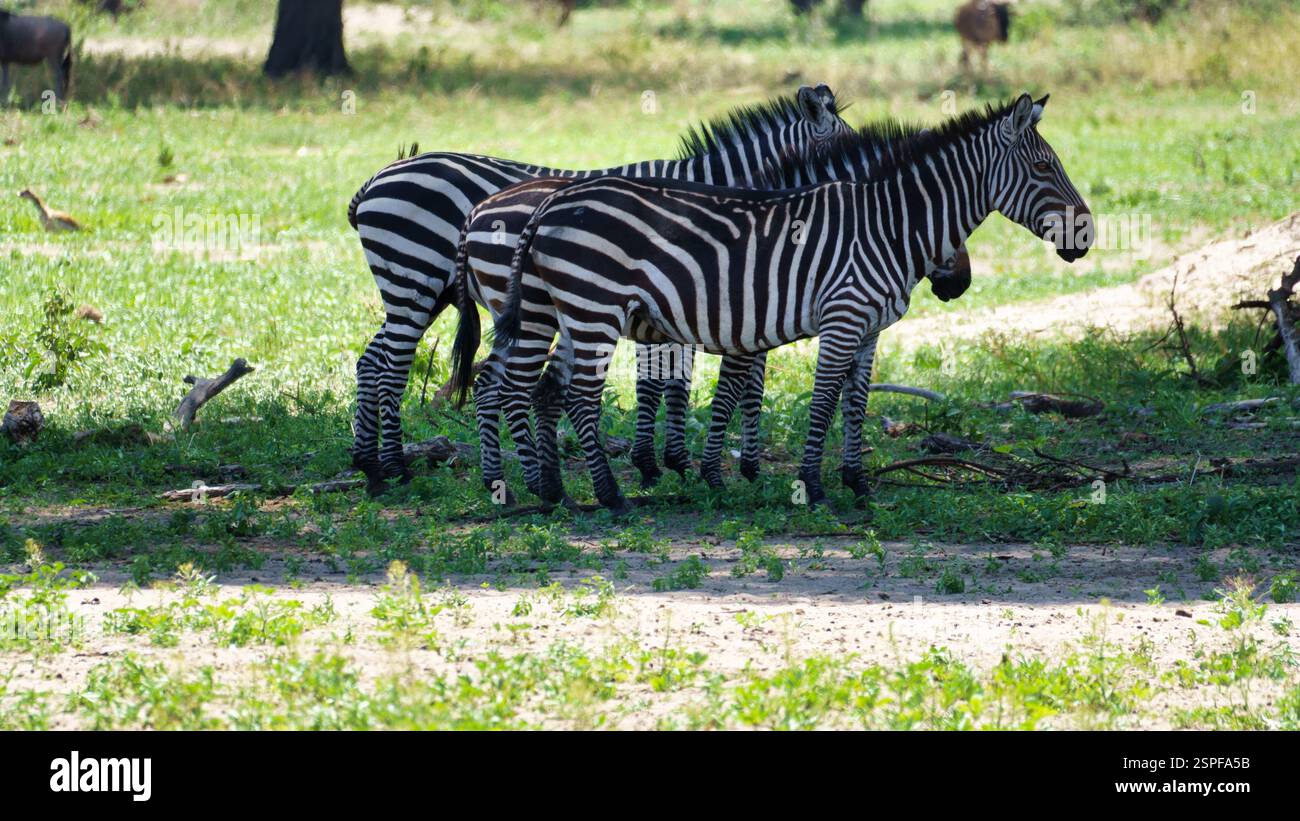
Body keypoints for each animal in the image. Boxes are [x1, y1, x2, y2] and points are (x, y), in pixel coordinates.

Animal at [347, 85, 850, 495]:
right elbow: (669, 383)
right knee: (392, 367)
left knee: (371, 361)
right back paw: (396, 468)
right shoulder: (687, 298)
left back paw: (371, 466)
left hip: (420, 291)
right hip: (415, 281)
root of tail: (378, 177)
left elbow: (716, 382)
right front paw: (668, 463)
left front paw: (691, 464)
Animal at [483, 93, 1090, 513]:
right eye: (1043, 168)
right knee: (572, 395)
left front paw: (857, 484)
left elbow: (853, 403)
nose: (1083, 237)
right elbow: (814, 401)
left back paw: (553, 491)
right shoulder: (836, 319)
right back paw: (605, 496)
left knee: (537, 389)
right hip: (592, 311)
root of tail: (552, 202)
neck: (886, 224)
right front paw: (809, 486)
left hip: (564, 313)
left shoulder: (867, 329)